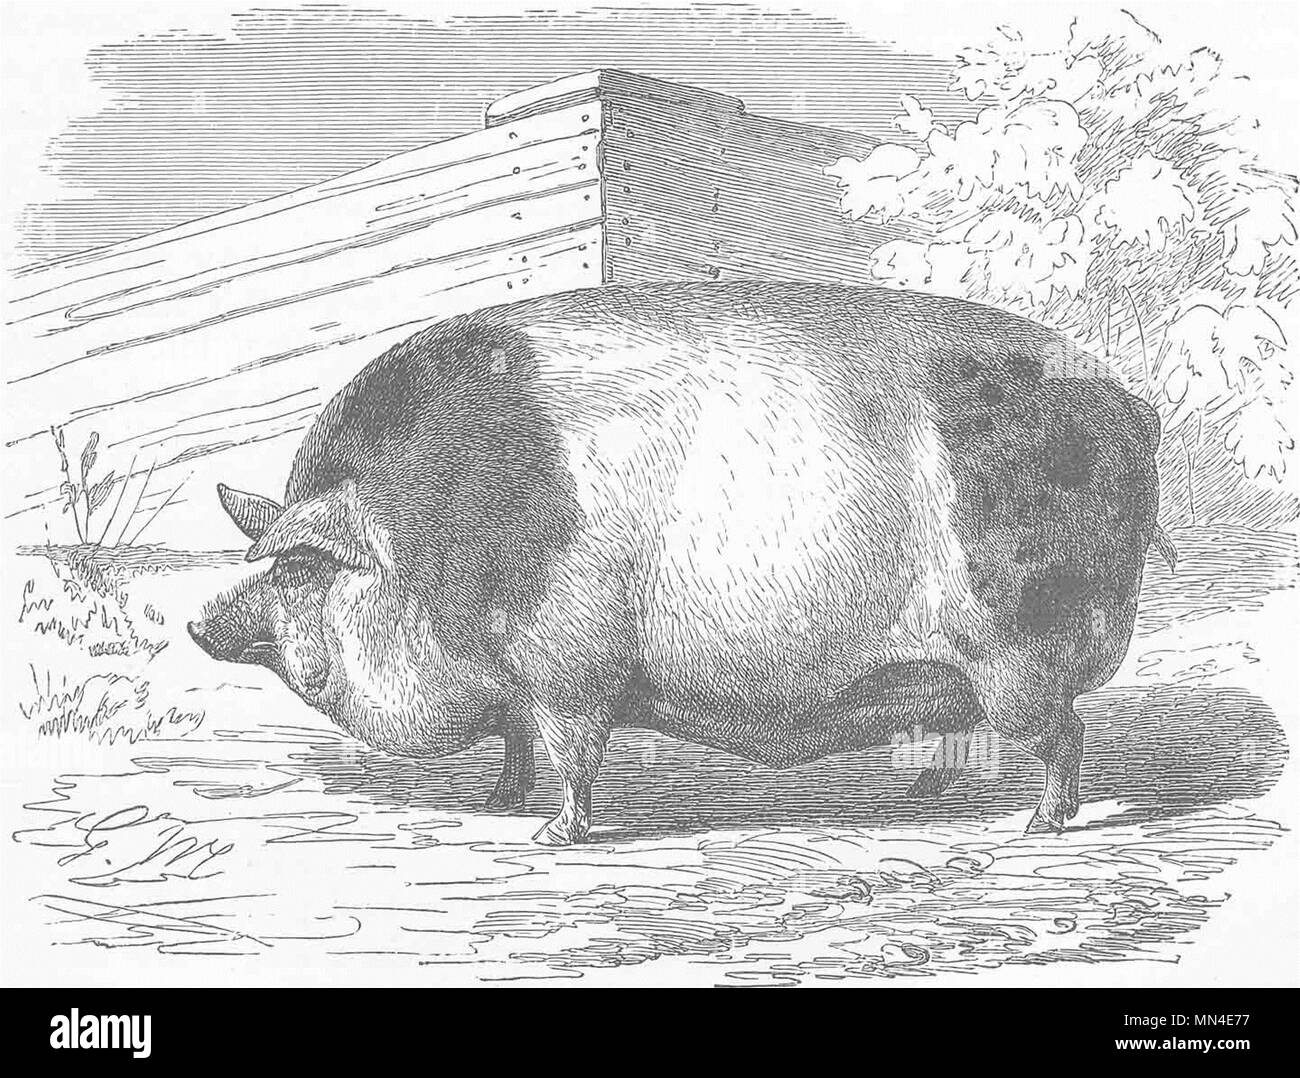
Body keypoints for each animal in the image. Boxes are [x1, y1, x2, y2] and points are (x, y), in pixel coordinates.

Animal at [189, 281, 1162, 845]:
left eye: (294, 567)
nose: (197, 618)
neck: (420, 548)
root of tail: (1130, 405)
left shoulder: (571, 664)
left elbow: (574, 751)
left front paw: (553, 836)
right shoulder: (517, 682)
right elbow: (516, 739)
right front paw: (501, 803)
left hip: (1018, 651)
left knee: (1064, 733)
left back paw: (1037, 827)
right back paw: (926, 793)